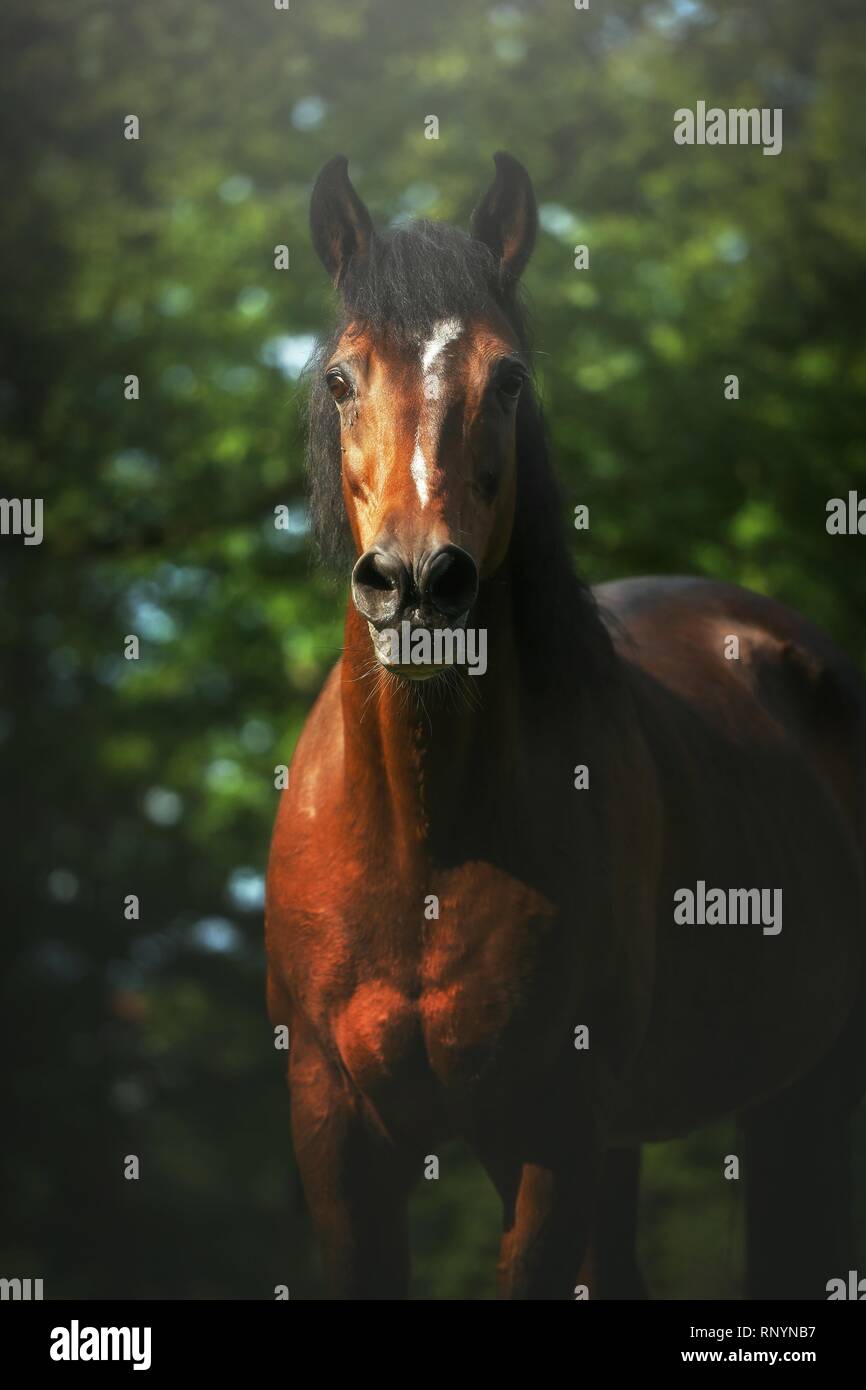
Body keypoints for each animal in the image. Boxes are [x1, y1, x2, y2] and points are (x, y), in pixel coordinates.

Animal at [265, 152, 866, 1300]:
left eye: (506, 380)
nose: (419, 587)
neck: (423, 840)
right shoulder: (336, 1138)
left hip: (801, 1098)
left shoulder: (547, 1133)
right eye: (340, 380)